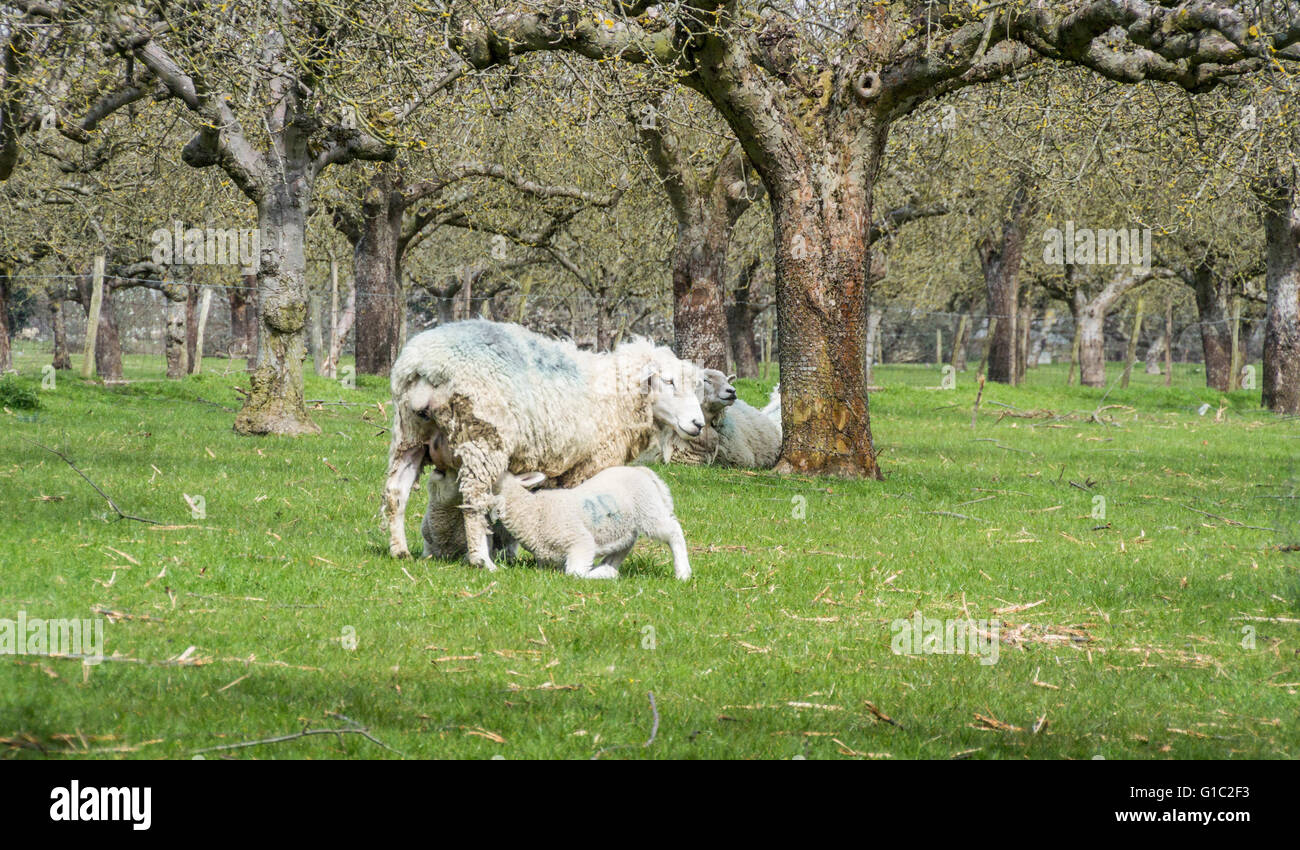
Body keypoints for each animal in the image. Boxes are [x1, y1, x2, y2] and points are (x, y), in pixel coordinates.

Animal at [491, 467, 691, 580]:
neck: (533, 512)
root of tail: (643, 471)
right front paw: (607, 572)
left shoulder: (580, 542)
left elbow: (575, 574)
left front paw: (604, 575)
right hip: (625, 524)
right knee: (624, 545)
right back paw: (608, 567)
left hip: (648, 508)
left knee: (673, 531)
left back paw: (683, 573)